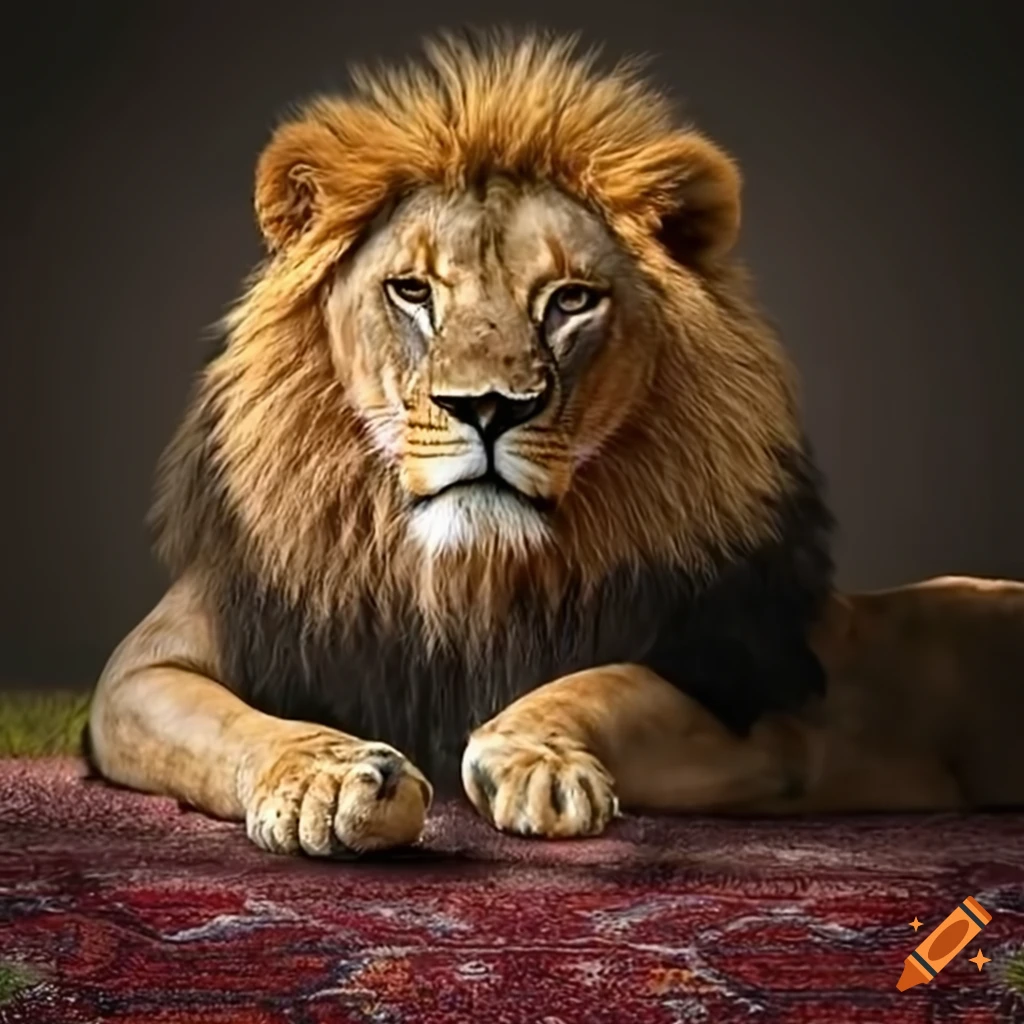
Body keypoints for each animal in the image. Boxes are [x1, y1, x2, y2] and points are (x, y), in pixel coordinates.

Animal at [86, 32, 1024, 856]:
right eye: (412, 291)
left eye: (571, 299)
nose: (486, 409)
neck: (470, 580)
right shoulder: (146, 668)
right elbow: (230, 722)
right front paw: (335, 776)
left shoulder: (774, 707)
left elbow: (606, 678)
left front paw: (535, 760)